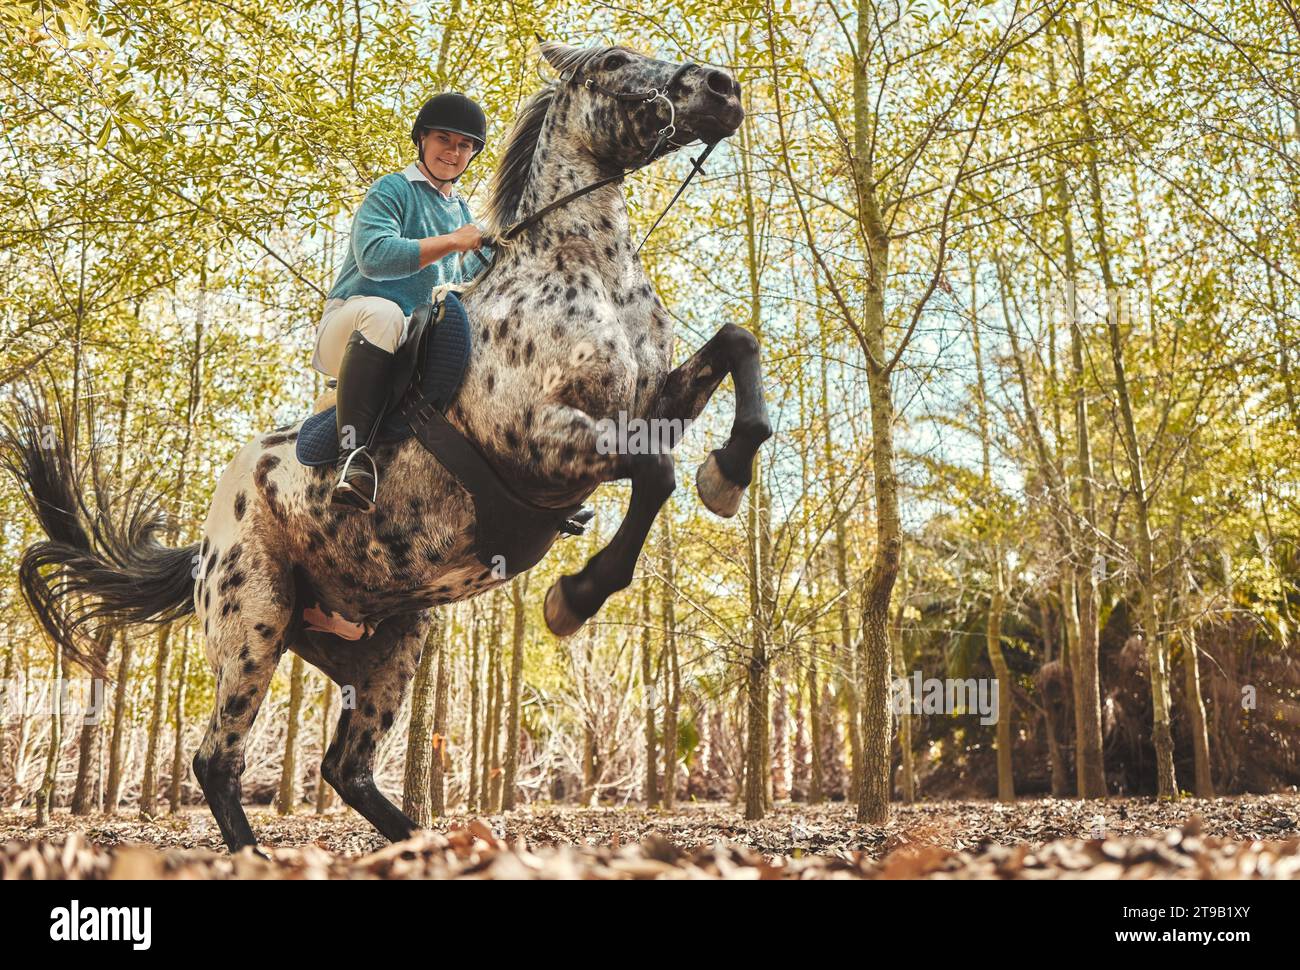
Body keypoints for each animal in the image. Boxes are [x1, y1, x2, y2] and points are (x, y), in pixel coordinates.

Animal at [3, 39, 771, 853]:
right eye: (616, 59)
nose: (723, 88)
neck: (586, 271)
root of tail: (204, 541)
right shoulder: (539, 440)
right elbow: (655, 475)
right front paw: (576, 595)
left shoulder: (651, 407)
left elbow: (736, 347)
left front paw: (727, 474)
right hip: (255, 626)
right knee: (219, 759)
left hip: (390, 641)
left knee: (347, 768)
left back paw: (439, 845)